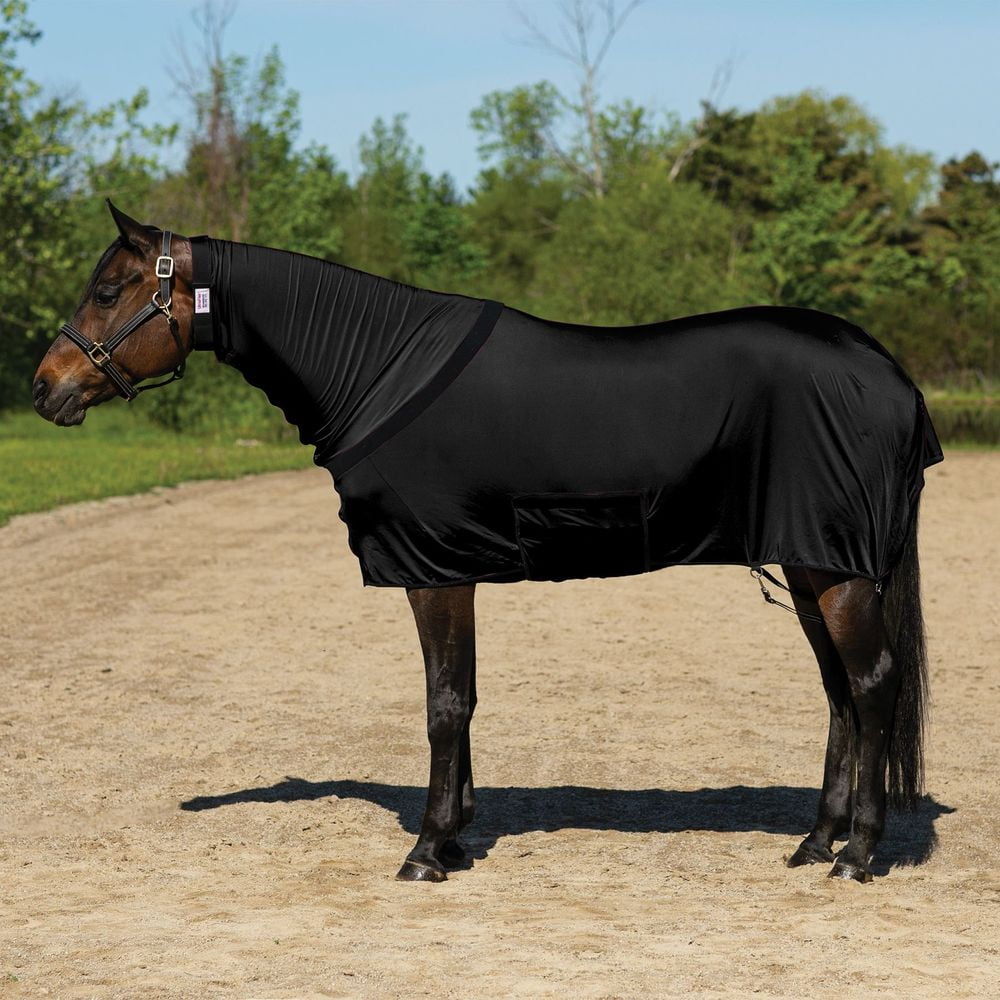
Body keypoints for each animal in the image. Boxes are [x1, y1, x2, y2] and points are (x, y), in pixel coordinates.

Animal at [33, 201, 942, 884]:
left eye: (109, 290)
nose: (45, 390)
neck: (379, 369)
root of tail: (892, 375)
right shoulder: (452, 569)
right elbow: (460, 696)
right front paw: (458, 836)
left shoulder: (436, 570)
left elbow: (444, 704)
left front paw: (427, 849)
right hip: (811, 565)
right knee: (838, 692)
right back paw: (814, 842)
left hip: (833, 569)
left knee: (872, 686)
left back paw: (858, 854)